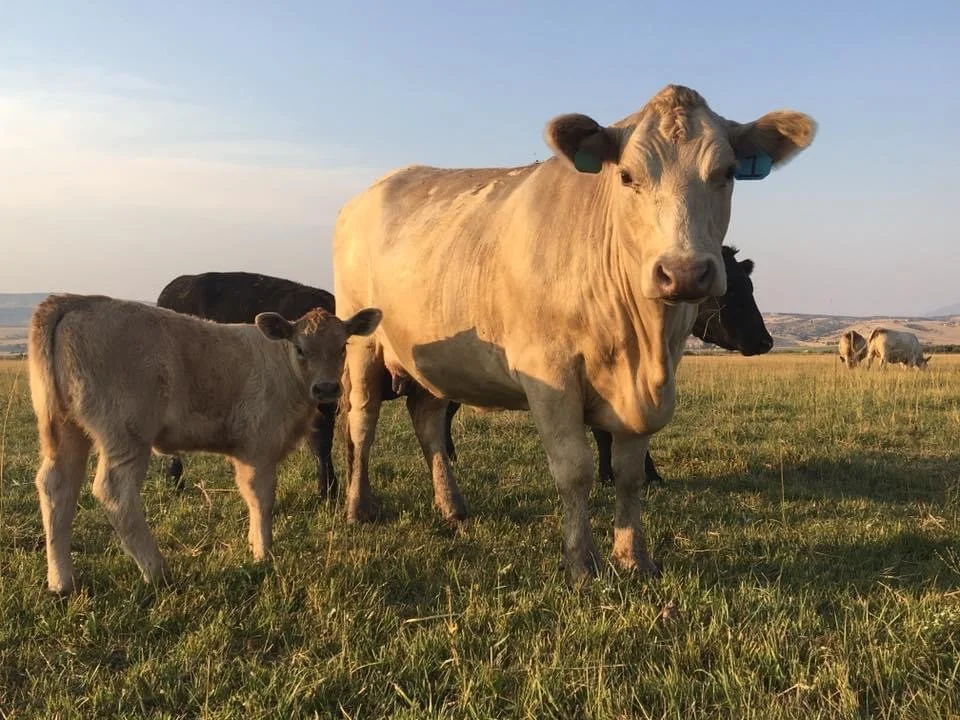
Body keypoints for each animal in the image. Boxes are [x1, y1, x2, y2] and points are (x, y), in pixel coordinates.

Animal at [333, 84, 816, 581]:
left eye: (728, 172)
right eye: (627, 175)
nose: (683, 272)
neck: (642, 343)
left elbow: (629, 472)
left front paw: (634, 556)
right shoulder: (549, 374)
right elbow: (574, 468)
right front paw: (582, 562)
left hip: (430, 357)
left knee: (428, 423)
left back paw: (452, 507)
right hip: (361, 342)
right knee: (362, 423)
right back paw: (359, 506)